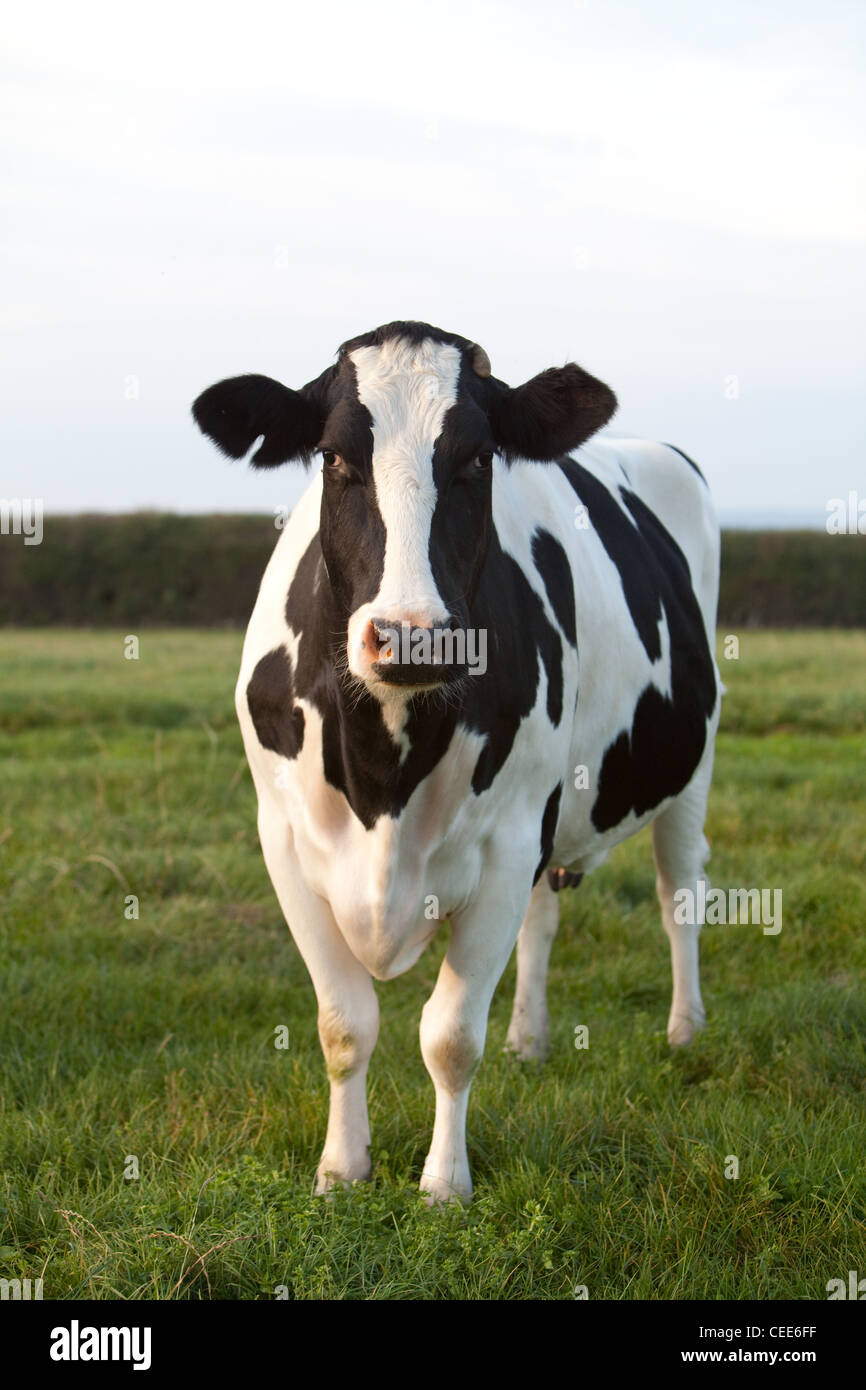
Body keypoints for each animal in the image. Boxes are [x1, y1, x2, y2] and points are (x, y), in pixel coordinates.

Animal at [192, 320, 722, 1203]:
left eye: (478, 459)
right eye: (333, 456)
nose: (412, 636)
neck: (384, 775)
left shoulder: (507, 844)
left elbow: (448, 1035)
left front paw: (444, 1184)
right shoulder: (286, 844)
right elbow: (344, 1022)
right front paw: (342, 1168)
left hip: (689, 768)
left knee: (677, 889)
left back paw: (686, 1031)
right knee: (546, 918)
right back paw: (531, 1040)